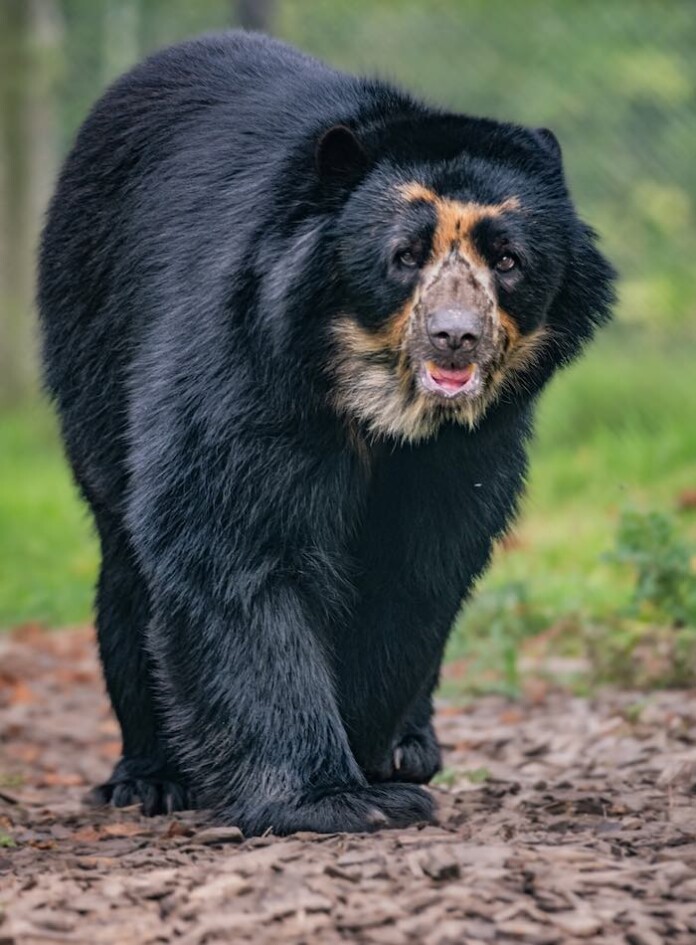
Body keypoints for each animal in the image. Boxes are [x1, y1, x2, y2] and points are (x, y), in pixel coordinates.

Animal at [38, 30, 615, 835]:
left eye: (507, 260)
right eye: (404, 256)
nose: (455, 338)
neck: (382, 407)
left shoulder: (467, 447)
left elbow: (415, 570)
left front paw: (378, 765)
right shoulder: (249, 364)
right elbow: (236, 549)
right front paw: (332, 799)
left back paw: (411, 748)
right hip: (90, 340)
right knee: (126, 555)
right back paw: (151, 778)